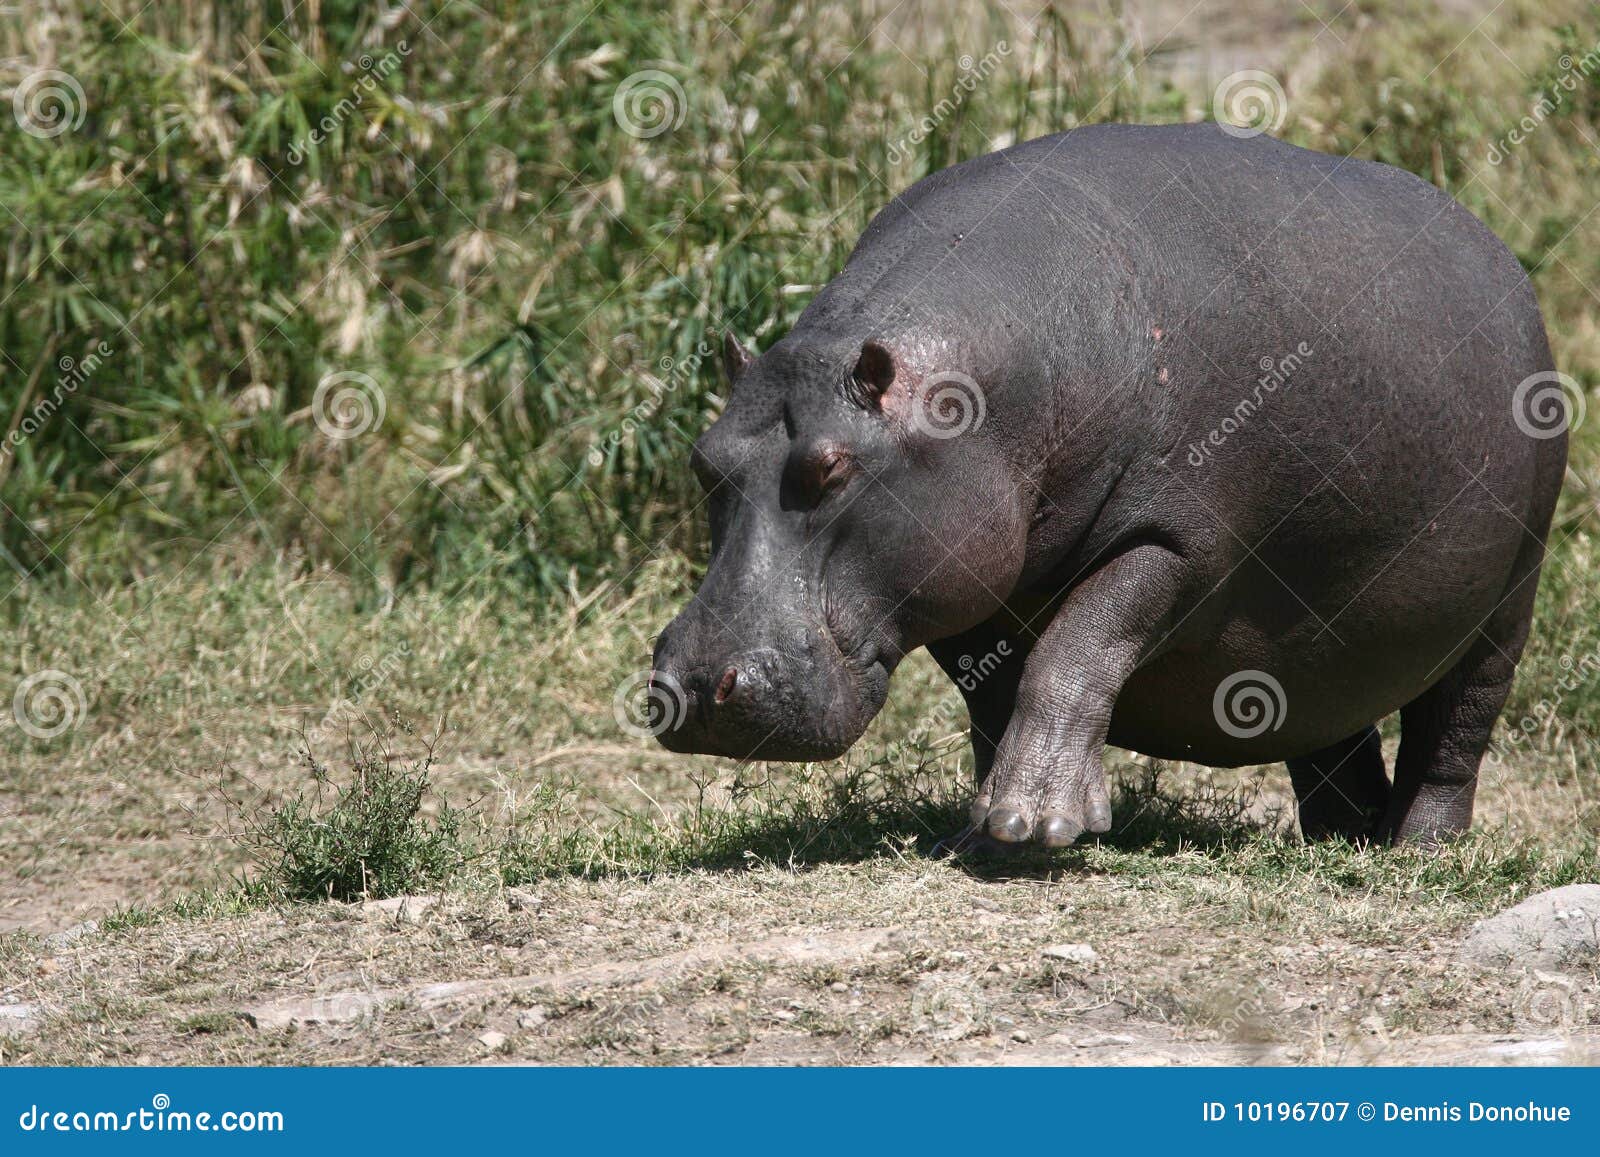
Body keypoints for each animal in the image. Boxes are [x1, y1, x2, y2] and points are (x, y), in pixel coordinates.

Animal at [650, 122, 1567, 847]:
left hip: (1507, 602)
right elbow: (996, 699)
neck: (977, 400)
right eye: (704, 458)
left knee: (1454, 732)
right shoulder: (969, 576)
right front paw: (985, 830)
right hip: (1321, 637)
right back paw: (1343, 839)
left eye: (831, 467)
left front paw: (1039, 820)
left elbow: (1077, 645)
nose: (693, 686)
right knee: (1331, 733)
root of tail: (1505, 260)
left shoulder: (1181, 546)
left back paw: (1419, 848)